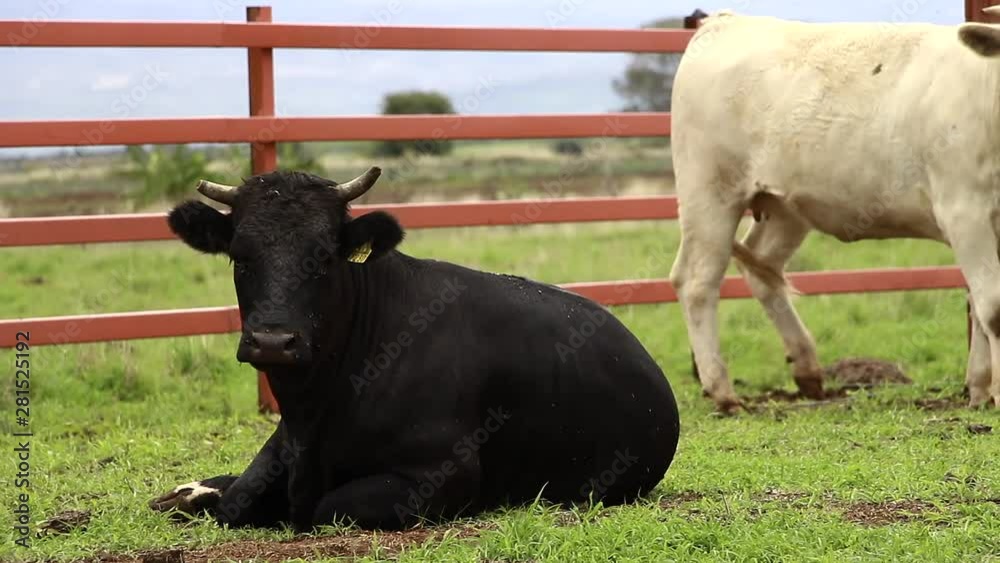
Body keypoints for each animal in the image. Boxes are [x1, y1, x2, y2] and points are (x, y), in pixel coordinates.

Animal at [148, 167, 680, 531]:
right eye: (240, 257)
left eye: (324, 257)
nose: (274, 341)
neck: (313, 410)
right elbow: (238, 498)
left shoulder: (438, 474)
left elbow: (326, 507)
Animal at [669, 7, 1000, 414]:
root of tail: (725, 20)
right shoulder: (964, 211)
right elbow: (992, 307)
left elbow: (978, 303)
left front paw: (980, 388)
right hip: (710, 193)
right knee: (697, 281)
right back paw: (723, 392)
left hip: (783, 207)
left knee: (763, 267)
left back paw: (807, 369)